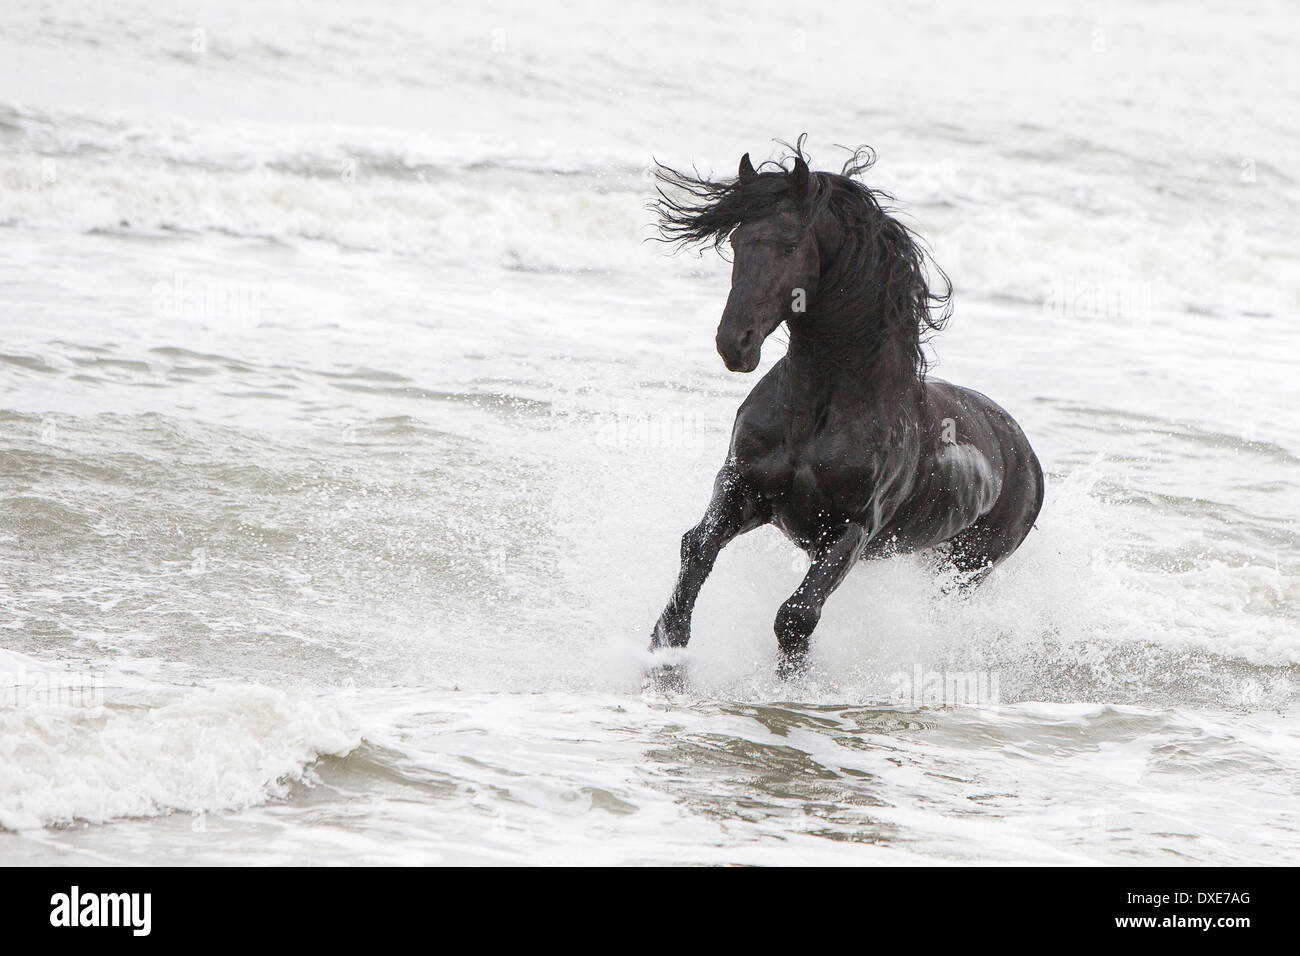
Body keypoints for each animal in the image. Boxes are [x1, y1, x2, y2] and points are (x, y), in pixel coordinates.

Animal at [648, 138, 1044, 681]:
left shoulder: (851, 527)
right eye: (736, 242)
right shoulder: (743, 486)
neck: (819, 410)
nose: (734, 344)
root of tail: (1027, 457)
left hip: (966, 569)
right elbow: (697, 548)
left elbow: (797, 616)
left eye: (790, 244)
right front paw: (666, 646)